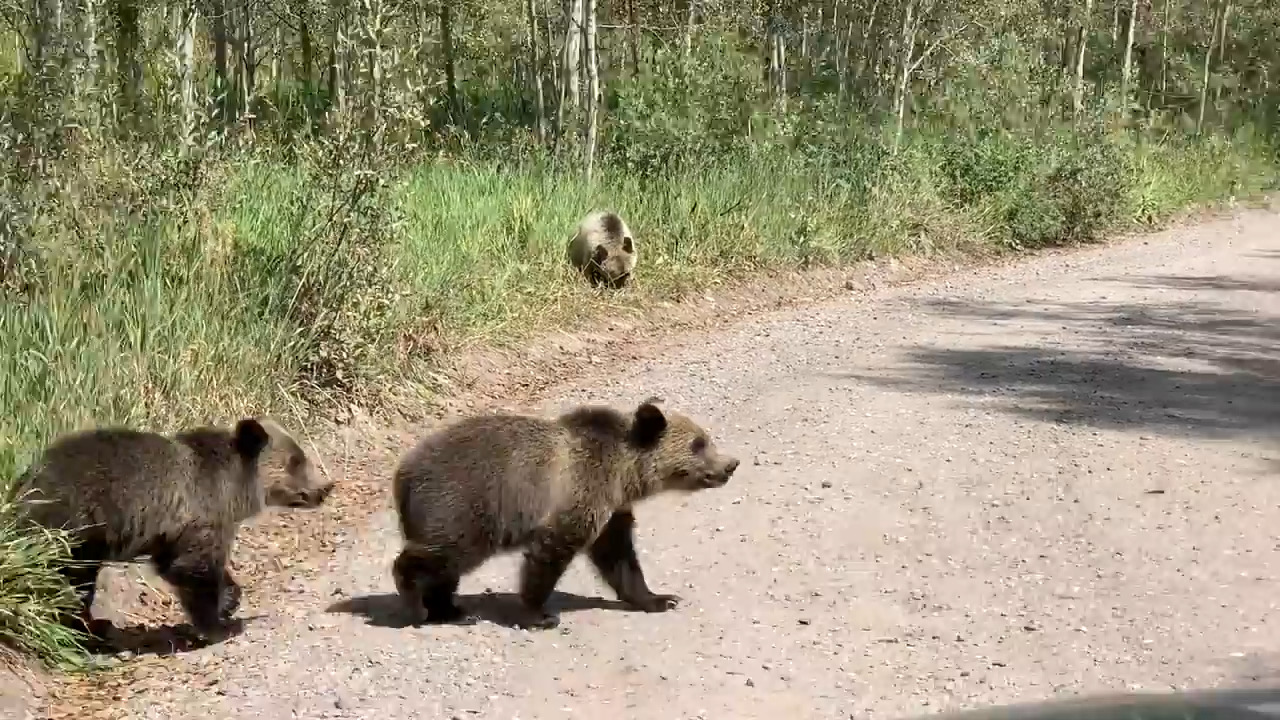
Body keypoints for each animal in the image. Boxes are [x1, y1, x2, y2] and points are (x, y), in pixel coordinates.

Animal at [9, 416, 334, 643]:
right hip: (78, 524)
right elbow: (194, 571)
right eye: (295, 460)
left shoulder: (175, 534)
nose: (324, 489)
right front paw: (219, 626)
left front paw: (230, 601)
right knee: (68, 578)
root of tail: (25, 482)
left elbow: (184, 565)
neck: (235, 488)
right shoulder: (203, 517)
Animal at [390, 396, 740, 630]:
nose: (730, 465)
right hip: (465, 504)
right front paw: (539, 615)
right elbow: (550, 553)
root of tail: (403, 474)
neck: (623, 475)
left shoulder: (611, 511)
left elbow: (620, 559)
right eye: (698, 443)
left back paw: (450, 611)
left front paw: (660, 599)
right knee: (444, 554)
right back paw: (417, 605)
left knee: (446, 568)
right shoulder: (576, 494)